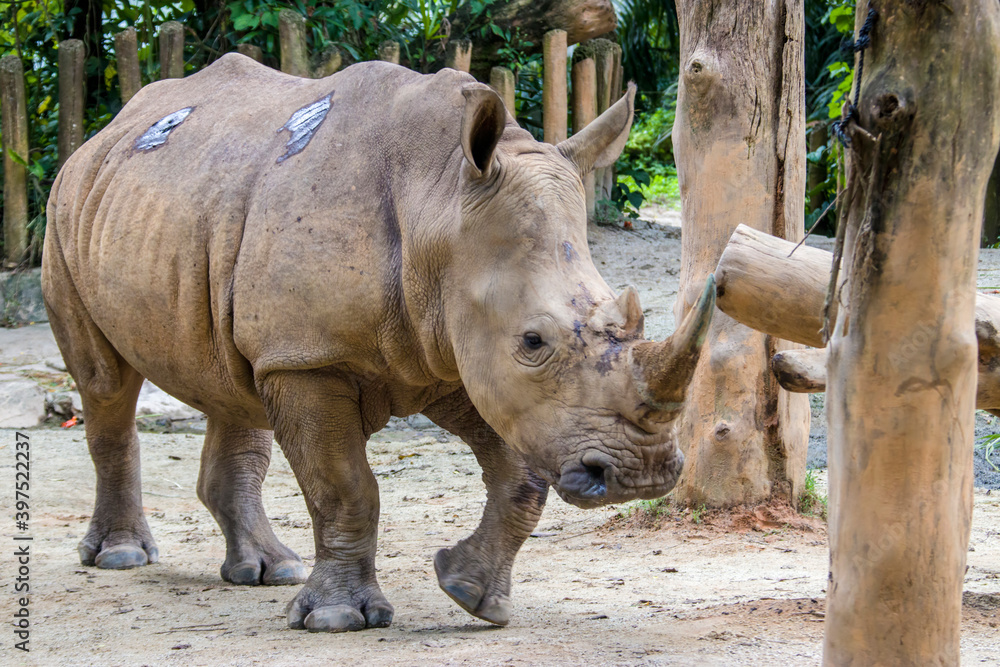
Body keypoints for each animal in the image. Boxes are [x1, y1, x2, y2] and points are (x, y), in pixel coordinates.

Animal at [42, 54, 714, 632]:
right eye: (532, 340)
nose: (644, 473)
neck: (438, 201)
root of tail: (109, 130)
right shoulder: (311, 359)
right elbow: (346, 488)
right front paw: (338, 620)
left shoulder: (450, 354)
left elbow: (522, 475)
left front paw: (472, 595)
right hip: (66, 208)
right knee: (106, 383)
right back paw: (124, 557)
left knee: (231, 383)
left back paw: (270, 570)